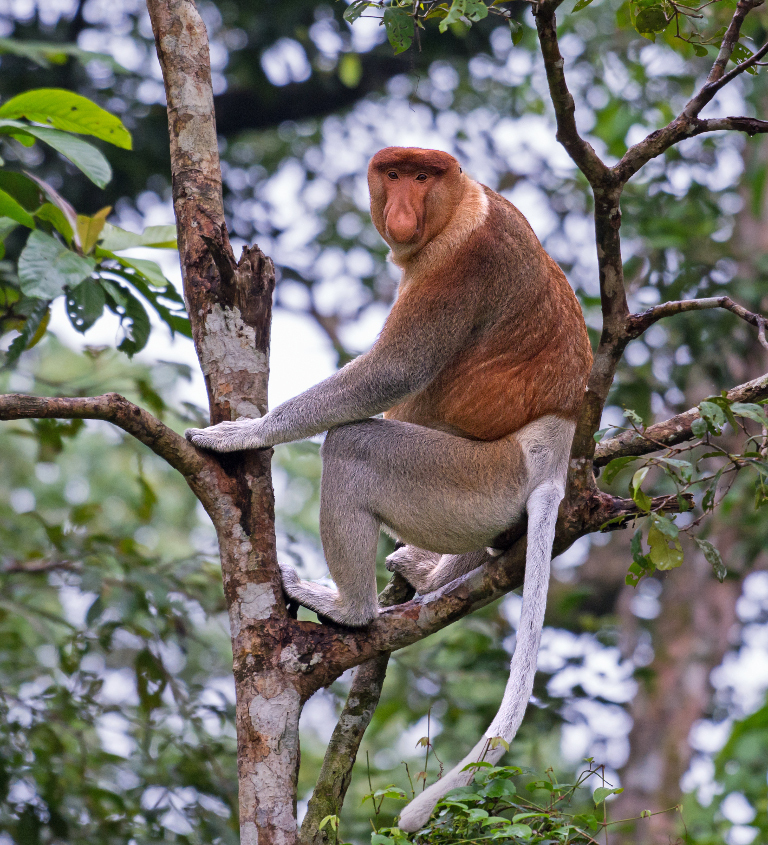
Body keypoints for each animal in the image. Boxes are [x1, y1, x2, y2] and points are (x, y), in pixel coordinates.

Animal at [185, 147, 593, 831]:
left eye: (424, 177)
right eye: (394, 174)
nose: (402, 206)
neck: (464, 206)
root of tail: (552, 447)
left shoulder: (461, 262)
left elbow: (392, 372)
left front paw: (242, 433)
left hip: (471, 476)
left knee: (353, 448)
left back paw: (350, 608)